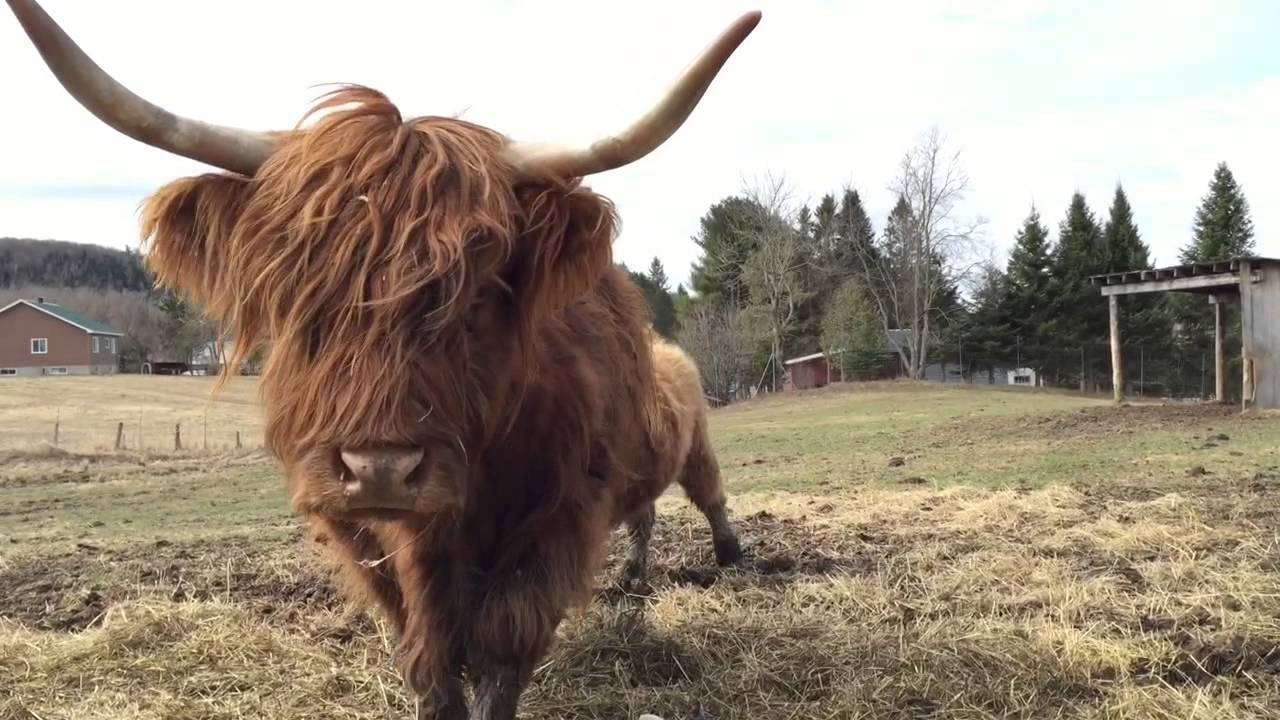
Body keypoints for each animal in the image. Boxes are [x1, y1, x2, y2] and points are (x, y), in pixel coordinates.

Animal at [6, 2, 759, 718]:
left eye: (479, 289)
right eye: (295, 289)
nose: (381, 469)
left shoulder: (556, 519)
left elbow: (501, 655)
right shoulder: (366, 539)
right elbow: (426, 660)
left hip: (693, 442)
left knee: (707, 492)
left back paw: (732, 557)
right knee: (645, 513)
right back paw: (633, 579)